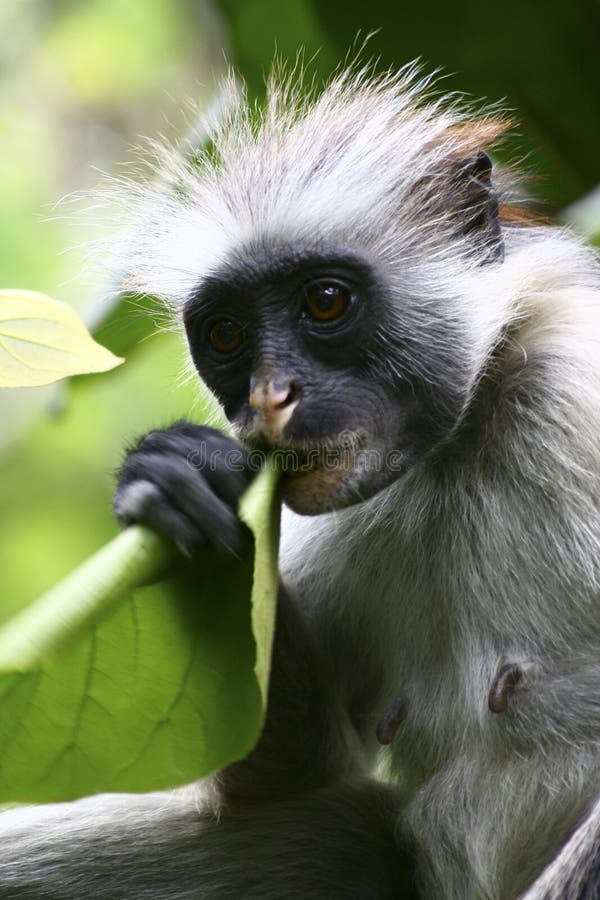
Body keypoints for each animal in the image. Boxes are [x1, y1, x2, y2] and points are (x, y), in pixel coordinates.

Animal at [1, 62, 600, 900]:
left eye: (325, 301)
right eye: (225, 334)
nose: (268, 397)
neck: (465, 443)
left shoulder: (578, 382)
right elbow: (301, 771)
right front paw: (187, 484)